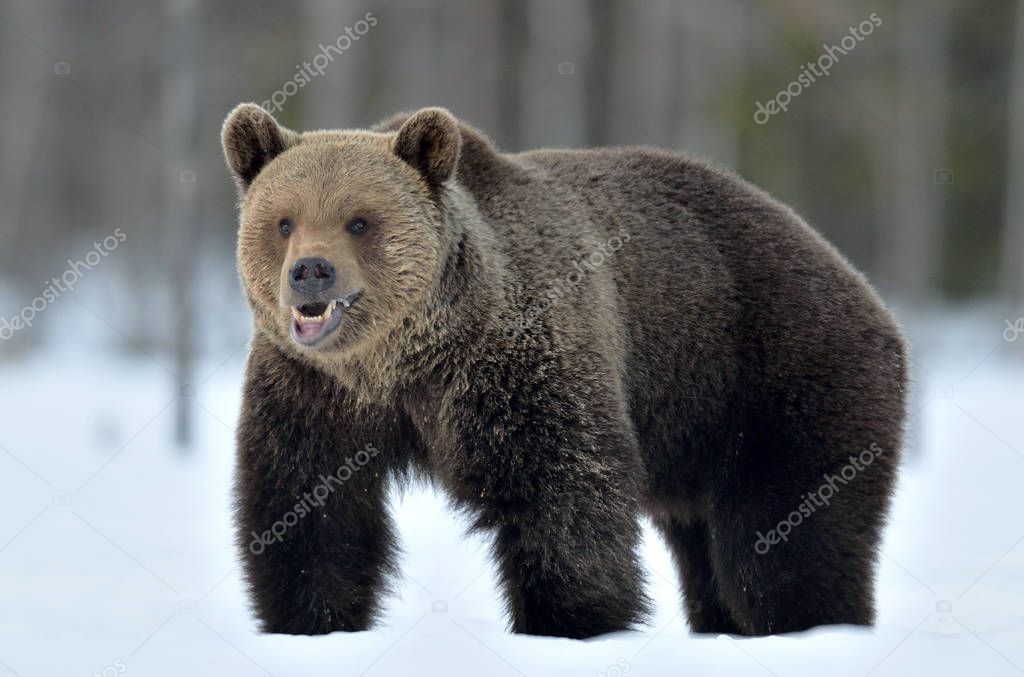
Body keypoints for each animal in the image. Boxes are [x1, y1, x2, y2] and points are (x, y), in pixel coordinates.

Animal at [221, 102, 908, 639]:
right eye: (283, 221)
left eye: (360, 221)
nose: (311, 271)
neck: (404, 362)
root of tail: (861, 285)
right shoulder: (313, 391)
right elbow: (308, 508)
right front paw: (312, 622)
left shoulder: (519, 361)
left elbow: (561, 492)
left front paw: (573, 621)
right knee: (711, 551)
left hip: (780, 375)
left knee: (784, 541)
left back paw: (814, 624)